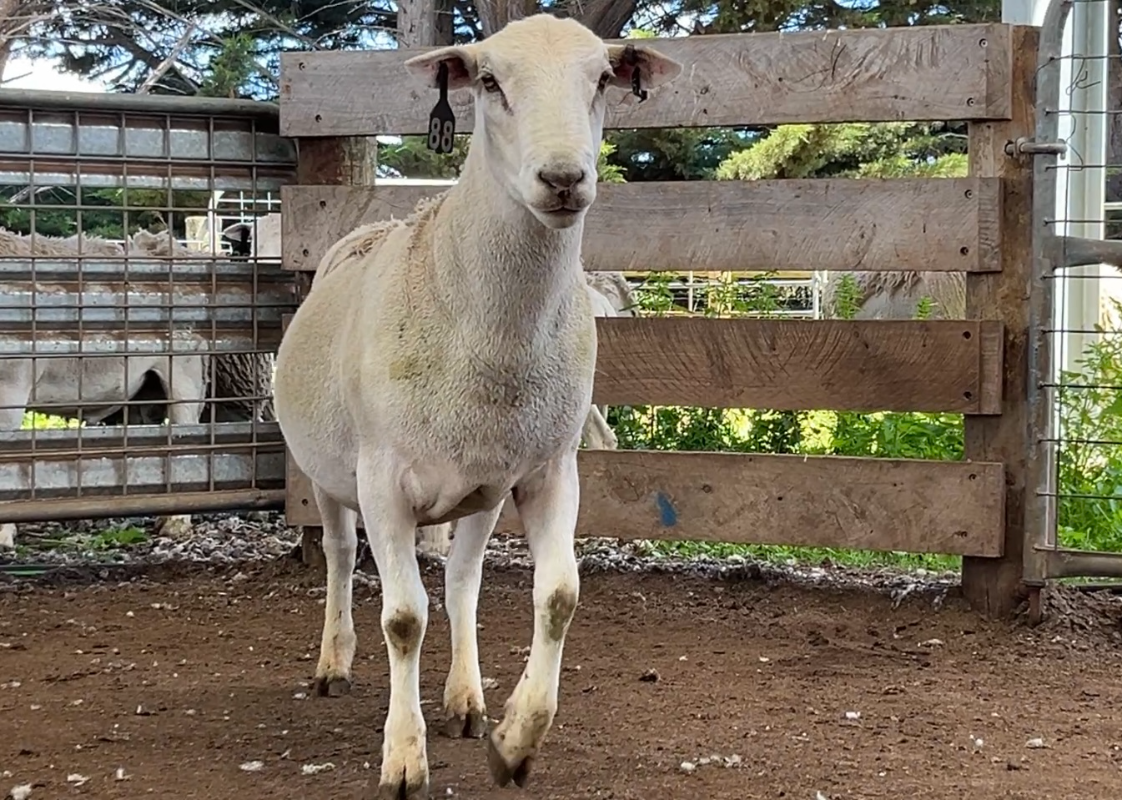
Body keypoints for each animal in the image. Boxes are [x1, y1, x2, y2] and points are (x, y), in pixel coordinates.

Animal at [271, 15, 681, 796]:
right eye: (489, 81)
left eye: (604, 80)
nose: (563, 179)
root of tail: (369, 229)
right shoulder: (382, 479)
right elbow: (403, 619)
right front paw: (404, 758)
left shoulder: (549, 467)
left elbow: (557, 597)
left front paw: (514, 742)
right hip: (327, 473)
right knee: (339, 557)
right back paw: (333, 663)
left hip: (481, 490)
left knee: (463, 582)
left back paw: (465, 699)